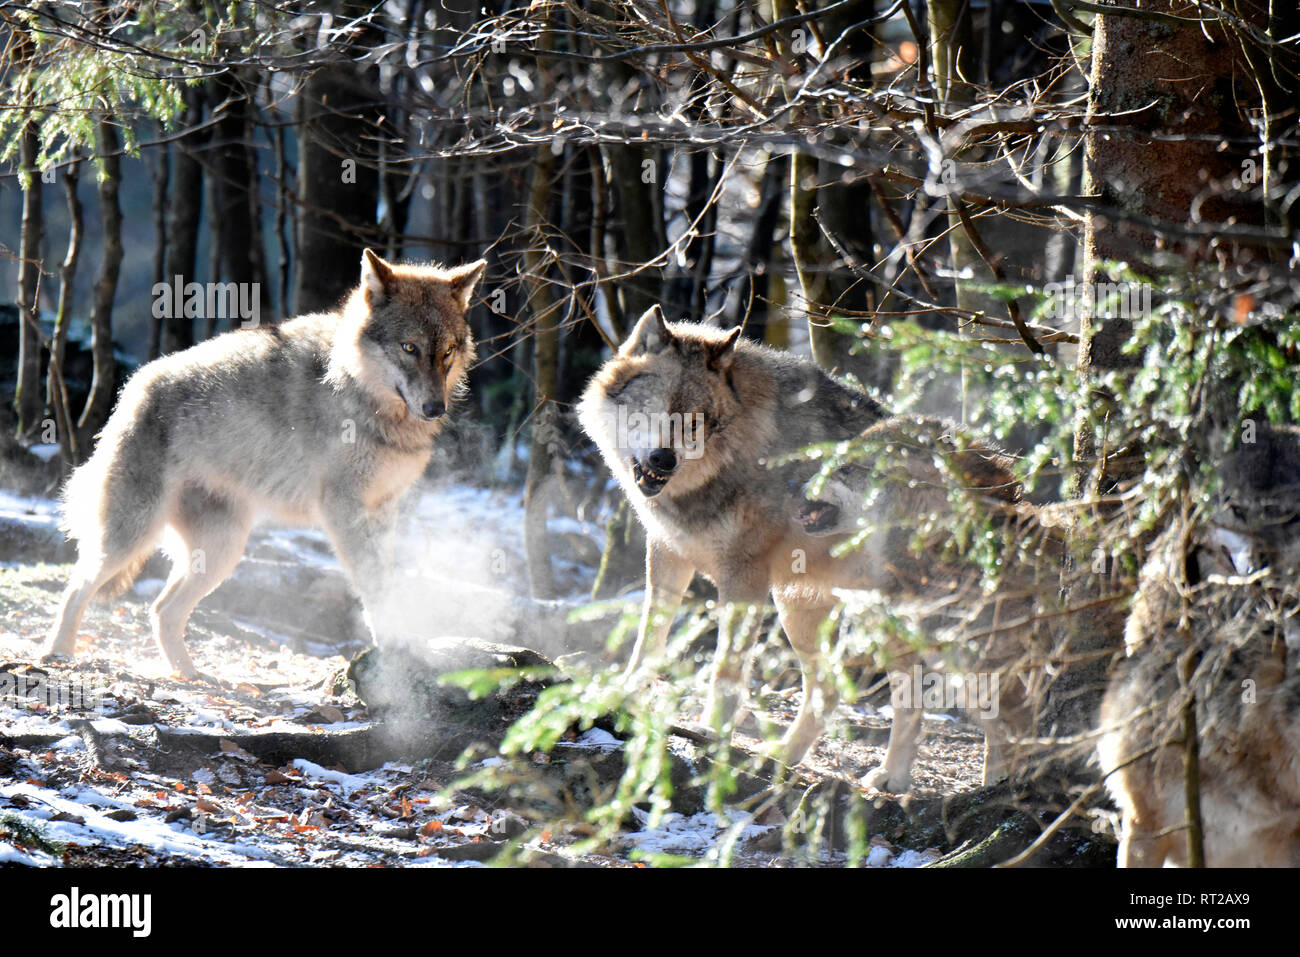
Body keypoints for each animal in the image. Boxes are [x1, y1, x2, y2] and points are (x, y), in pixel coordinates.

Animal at [44, 249, 485, 679]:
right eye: (409, 348)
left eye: (447, 351)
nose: (435, 408)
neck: (358, 390)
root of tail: (133, 386)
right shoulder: (344, 510)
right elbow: (373, 586)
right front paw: (392, 648)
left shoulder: (385, 510)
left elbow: (388, 584)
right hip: (131, 536)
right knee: (76, 587)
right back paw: (58, 653)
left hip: (221, 552)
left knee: (160, 610)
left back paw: (191, 674)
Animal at [578, 306, 888, 766]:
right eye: (656, 410)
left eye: (695, 422)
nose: (664, 460)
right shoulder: (667, 554)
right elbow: (649, 639)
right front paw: (626, 693)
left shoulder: (745, 576)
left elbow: (727, 666)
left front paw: (712, 729)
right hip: (800, 608)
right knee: (831, 689)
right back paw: (792, 756)